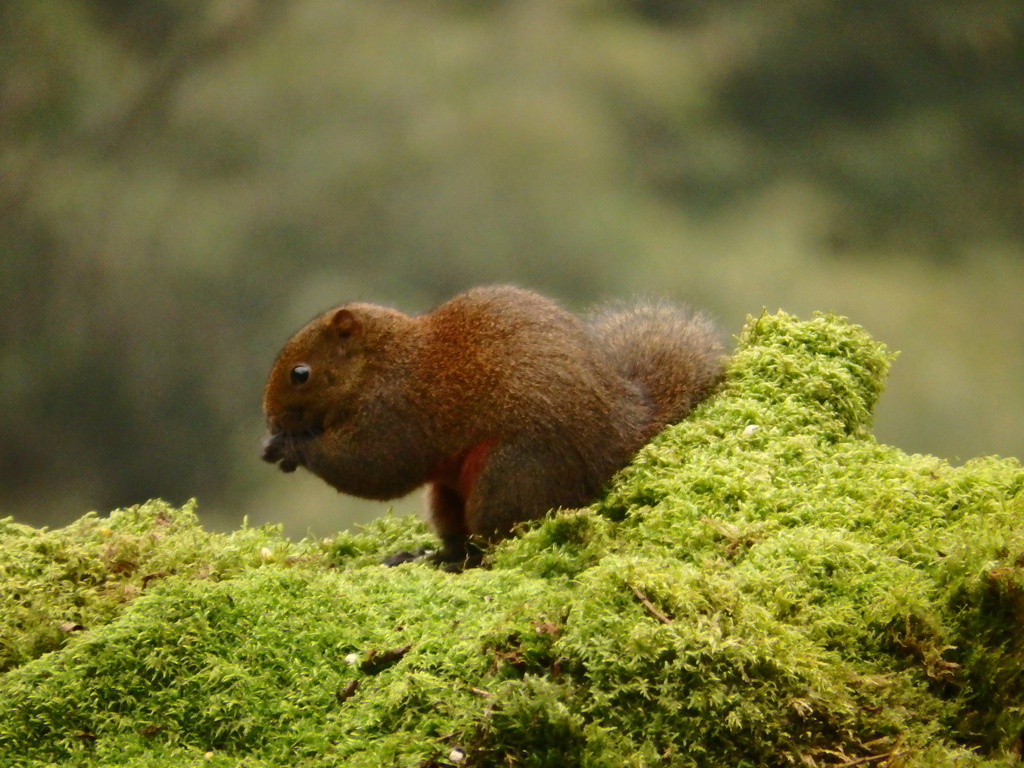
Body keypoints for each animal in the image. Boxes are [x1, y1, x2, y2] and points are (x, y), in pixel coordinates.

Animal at [261, 285, 726, 568]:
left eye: (300, 374)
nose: (269, 417)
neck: (383, 362)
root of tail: (618, 434)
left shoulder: (395, 410)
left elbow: (371, 467)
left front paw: (289, 447)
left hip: (510, 474)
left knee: (497, 538)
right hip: (447, 495)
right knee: (457, 536)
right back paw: (427, 555)